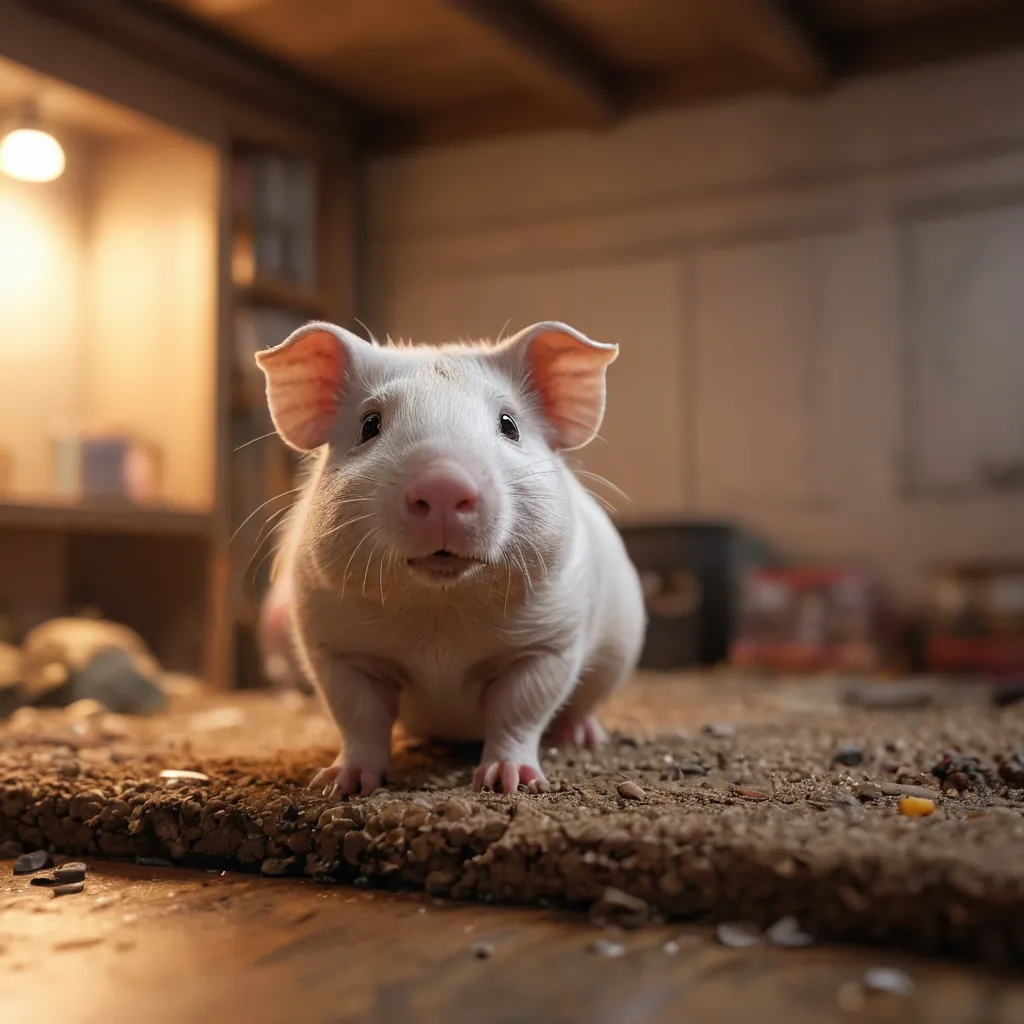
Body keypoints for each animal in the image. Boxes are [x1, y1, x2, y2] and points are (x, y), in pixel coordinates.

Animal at [255, 320, 646, 796]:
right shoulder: (336, 648)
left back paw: (584, 737)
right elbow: (358, 718)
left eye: (509, 424)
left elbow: (520, 712)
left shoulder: (550, 642)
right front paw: (338, 785)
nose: (442, 482)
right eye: (370, 424)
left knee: (579, 707)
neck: (441, 620)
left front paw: (510, 783)